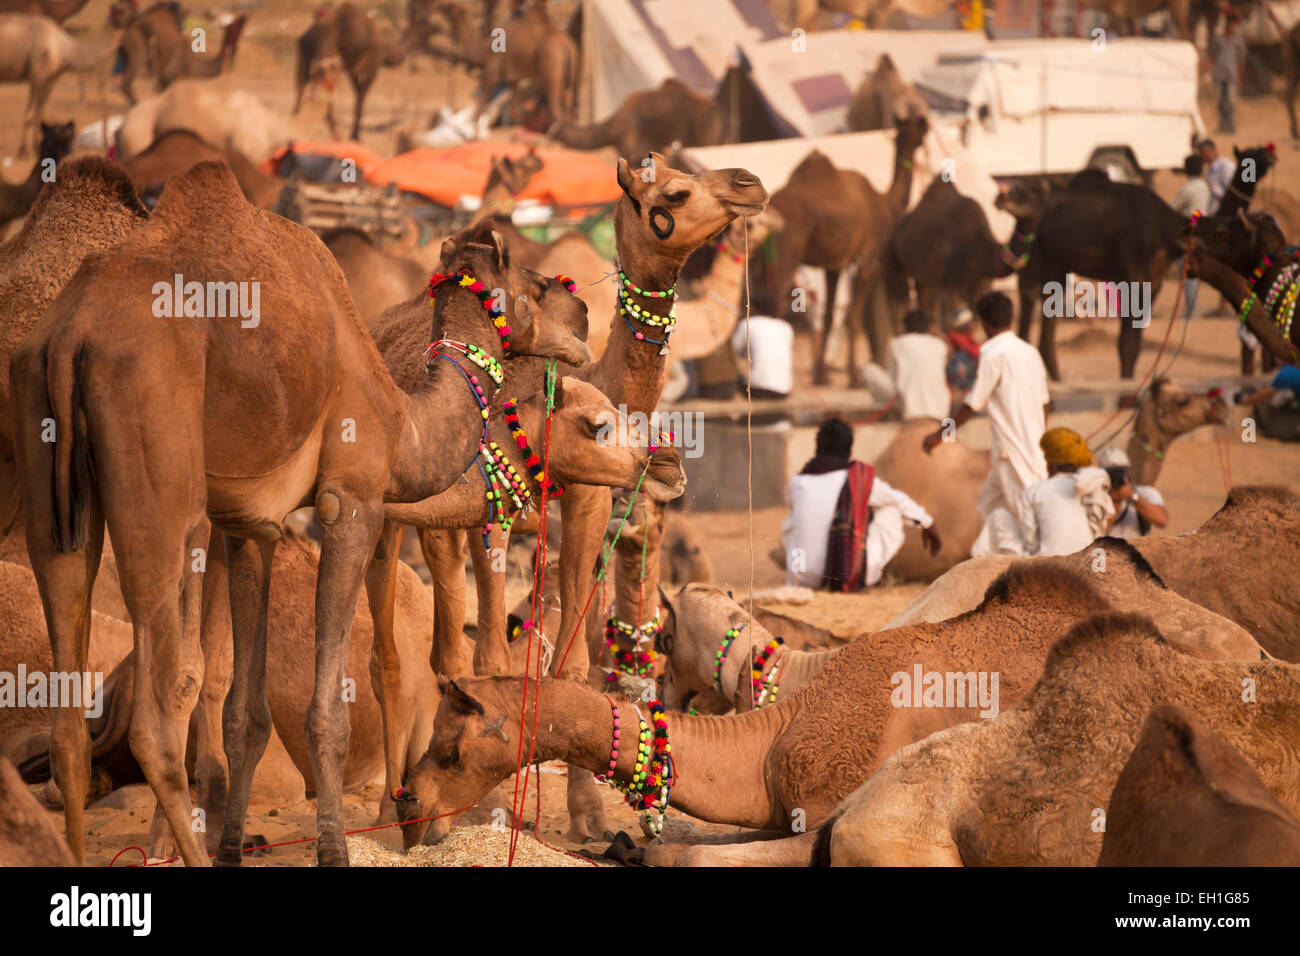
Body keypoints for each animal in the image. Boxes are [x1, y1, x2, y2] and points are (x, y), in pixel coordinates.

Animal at [0, 13, 113, 154]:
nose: (107, 145)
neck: (63, 50)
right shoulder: (37, 76)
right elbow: (30, 113)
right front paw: (23, 150)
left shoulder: (50, 80)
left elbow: (39, 113)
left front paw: (37, 147)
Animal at [9, 166, 590, 867]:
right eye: (536, 286)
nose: (585, 314)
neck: (403, 417)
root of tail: (71, 335)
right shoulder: (351, 502)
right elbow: (326, 711)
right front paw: (332, 850)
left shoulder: (249, 526)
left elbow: (245, 712)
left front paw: (234, 848)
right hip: (158, 491)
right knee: (152, 718)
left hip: (48, 476)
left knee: (68, 724)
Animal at [293, 3, 406, 142]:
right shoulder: (372, 68)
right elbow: (360, 100)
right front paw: (355, 136)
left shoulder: (352, 71)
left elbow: (357, 95)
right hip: (324, 56)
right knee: (319, 87)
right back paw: (335, 135)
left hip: (305, 56)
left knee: (301, 87)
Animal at [765, 114, 927, 384]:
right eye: (918, 126)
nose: (926, 127)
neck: (887, 204)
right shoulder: (870, 261)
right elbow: (854, 316)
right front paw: (854, 377)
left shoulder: (835, 265)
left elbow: (830, 315)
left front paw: (822, 376)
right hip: (790, 244)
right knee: (780, 295)